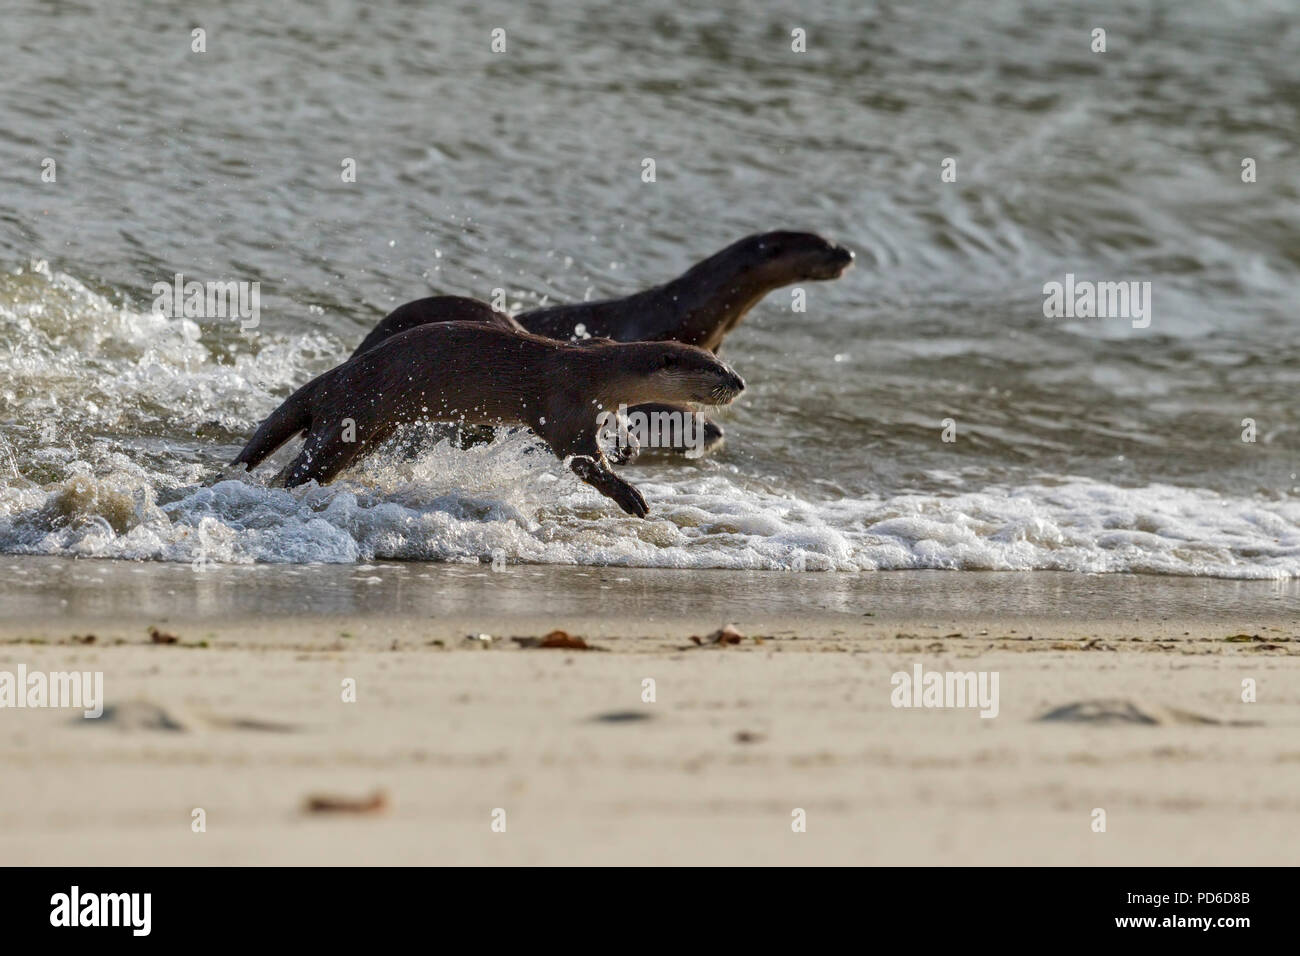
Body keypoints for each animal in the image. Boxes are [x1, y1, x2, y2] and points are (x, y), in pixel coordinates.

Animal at [231, 322, 745, 517]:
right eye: (715, 369)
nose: (739, 381)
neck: (594, 371)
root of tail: (333, 376)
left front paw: (628, 445)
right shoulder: (564, 408)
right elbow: (581, 460)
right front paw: (631, 496)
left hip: (366, 430)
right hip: (348, 417)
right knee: (300, 469)